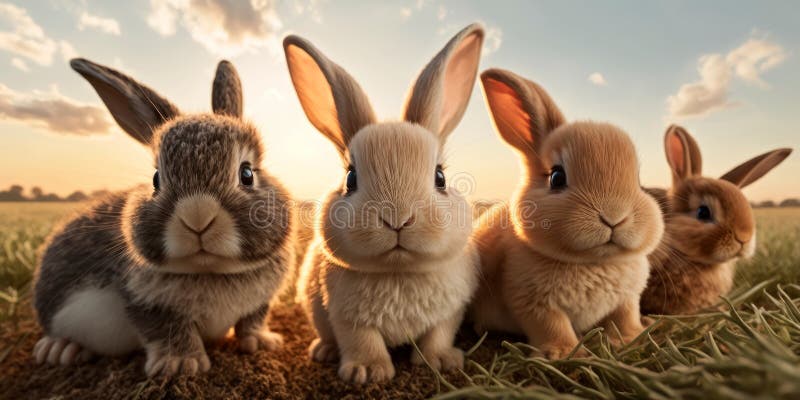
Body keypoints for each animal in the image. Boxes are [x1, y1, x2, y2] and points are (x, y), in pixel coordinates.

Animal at [31, 58, 295, 377]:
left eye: (247, 174)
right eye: (156, 178)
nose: (198, 216)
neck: (209, 270)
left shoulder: (261, 301)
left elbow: (252, 320)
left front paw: (261, 342)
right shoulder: (148, 304)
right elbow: (170, 330)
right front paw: (180, 364)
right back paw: (59, 349)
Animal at [285, 23, 484, 384]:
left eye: (440, 177)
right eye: (350, 179)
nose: (398, 219)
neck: (397, 272)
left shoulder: (449, 314)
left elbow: (437, 336)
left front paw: (440, 362)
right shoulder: (347, 318)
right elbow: (363, 341)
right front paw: (367, 372)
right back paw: (324, 351)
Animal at [468, 68, 665, 360]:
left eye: (639, 182)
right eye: (557, 177)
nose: (614, 217)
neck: (593, 262)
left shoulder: (627, 301)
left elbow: (624, 319)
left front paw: (631, 339)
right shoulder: (535, 304)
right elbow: (553, 327)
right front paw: (562, 353)